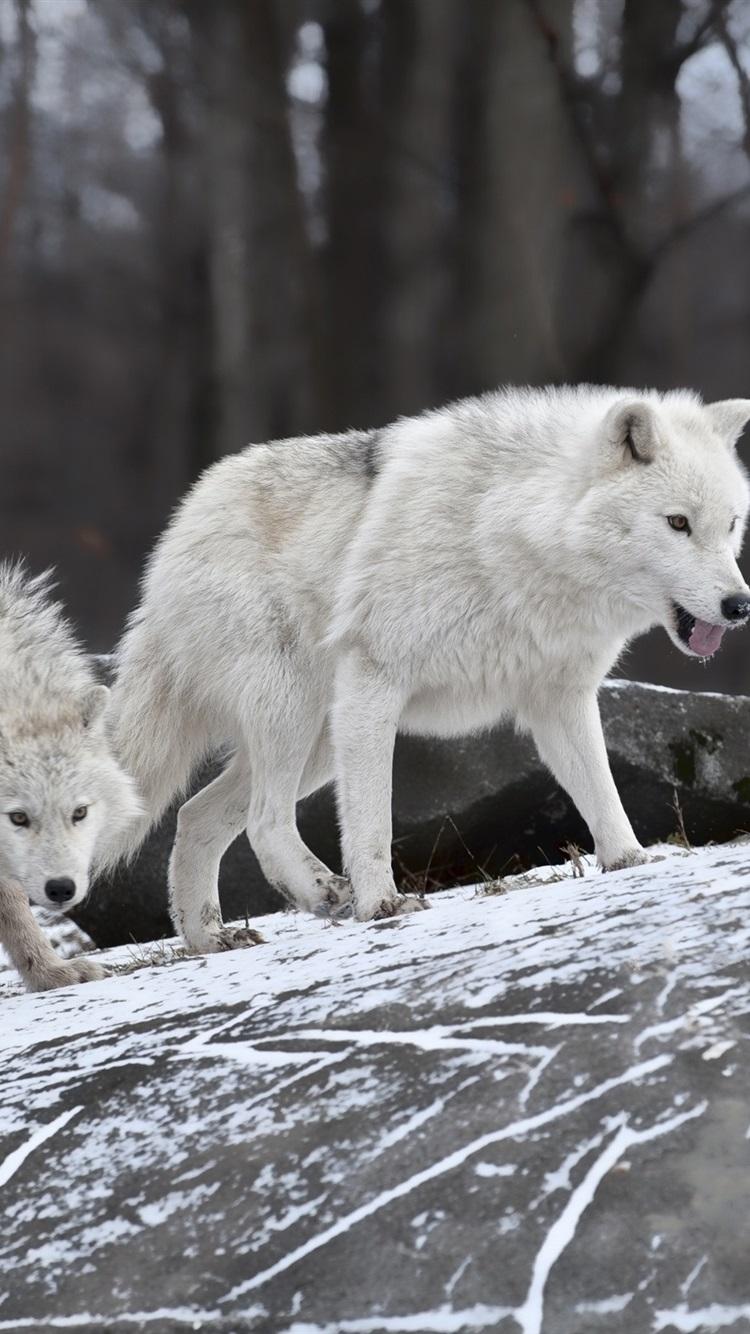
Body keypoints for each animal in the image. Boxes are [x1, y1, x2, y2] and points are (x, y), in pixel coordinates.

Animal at [103, 386, 750, 951]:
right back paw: (323, 894)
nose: (739, 605)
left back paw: (210, 938)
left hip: (318, 741)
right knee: (264, 819)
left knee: (196, 815)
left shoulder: (559, 699)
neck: (510, 532)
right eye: (677, 523)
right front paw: (382, 905)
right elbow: (372, 819)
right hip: (297, 713)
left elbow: (601, 791)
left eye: (731, 525)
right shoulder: (375, 681)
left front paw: (630, 862)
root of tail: (180, 526)